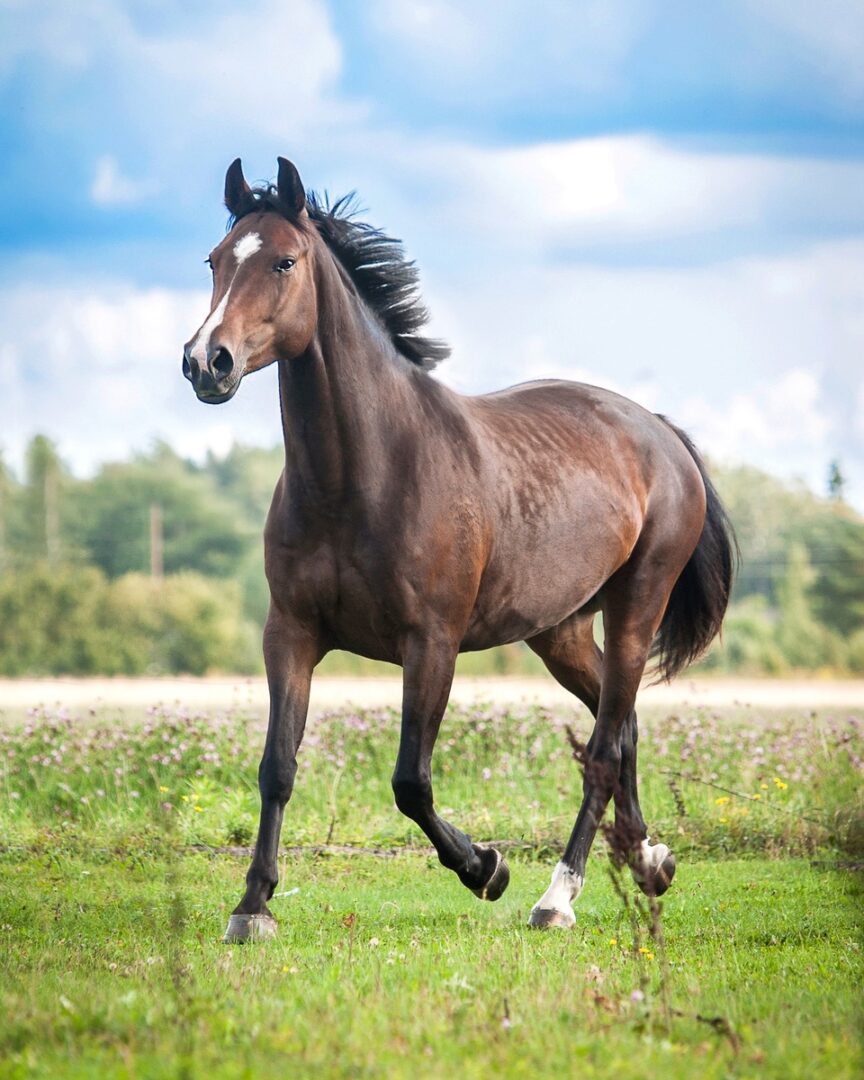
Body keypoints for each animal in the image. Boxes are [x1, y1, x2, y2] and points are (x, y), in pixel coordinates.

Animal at [183, 157, 735, 943]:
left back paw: (557, 897)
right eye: (216, 260)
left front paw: (486, 868)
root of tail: (660, 432)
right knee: (621, 725)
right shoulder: (289, 634)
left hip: (636, 607)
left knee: (602, 750)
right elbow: (277, 767)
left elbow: (410, 782)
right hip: (560, 633)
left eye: (284, 261)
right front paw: (252, 905)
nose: (207, 361)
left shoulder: (431, 643)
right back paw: (648, 860)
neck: (363, 474)